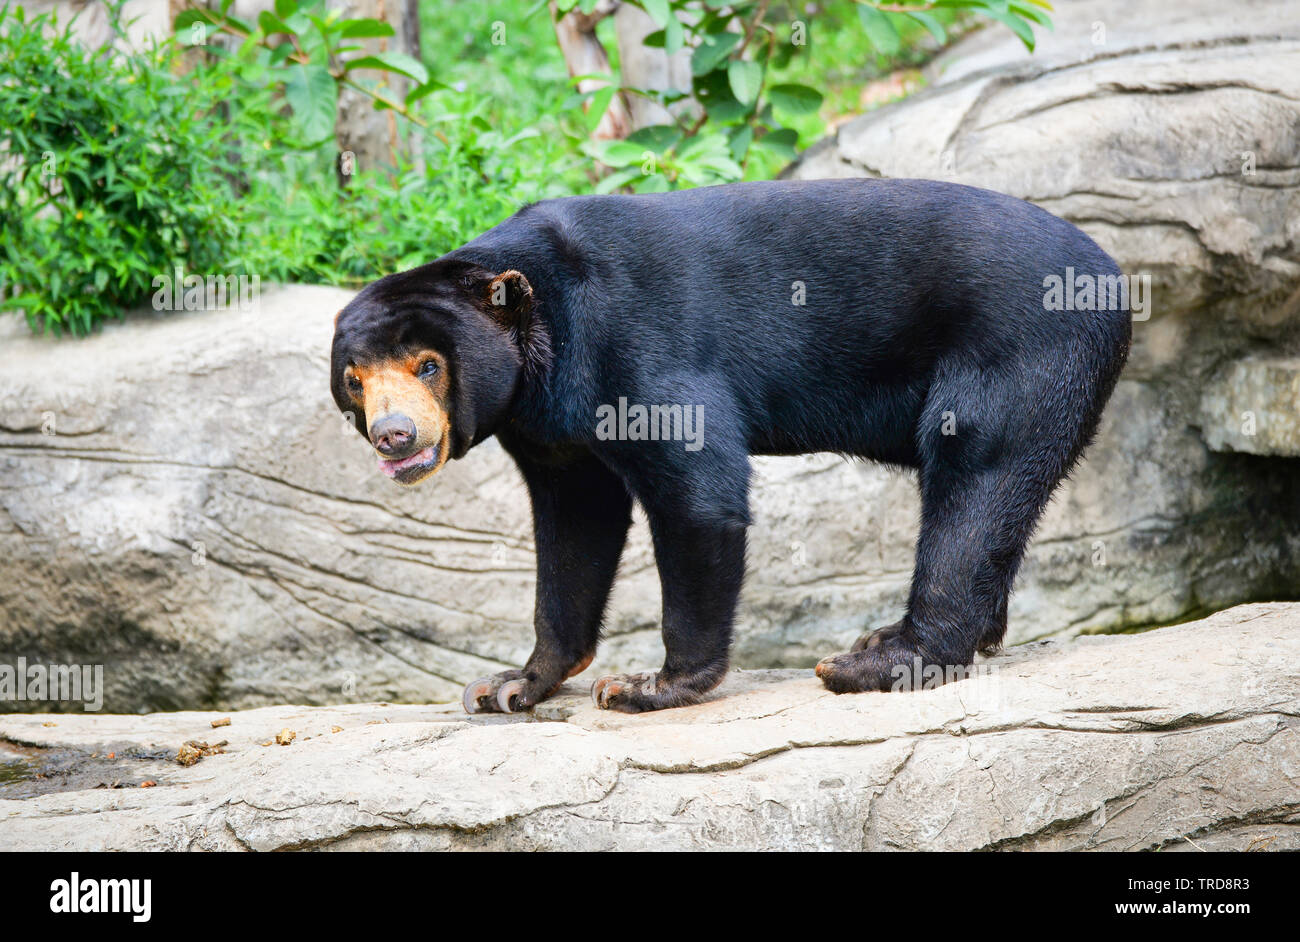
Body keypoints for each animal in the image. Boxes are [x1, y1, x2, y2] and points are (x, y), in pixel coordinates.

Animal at [330, 178, 1131, 714]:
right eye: (354, 379)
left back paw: (877, 661)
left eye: (428, 366)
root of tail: (1115, 281)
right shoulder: (551, 429)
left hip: (1016, 350)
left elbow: (697, 492)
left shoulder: (631, 345)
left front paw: (647, 685)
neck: (545, 332)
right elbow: (576, 526)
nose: (396, 436)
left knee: (976, 479)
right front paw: (510, 684)